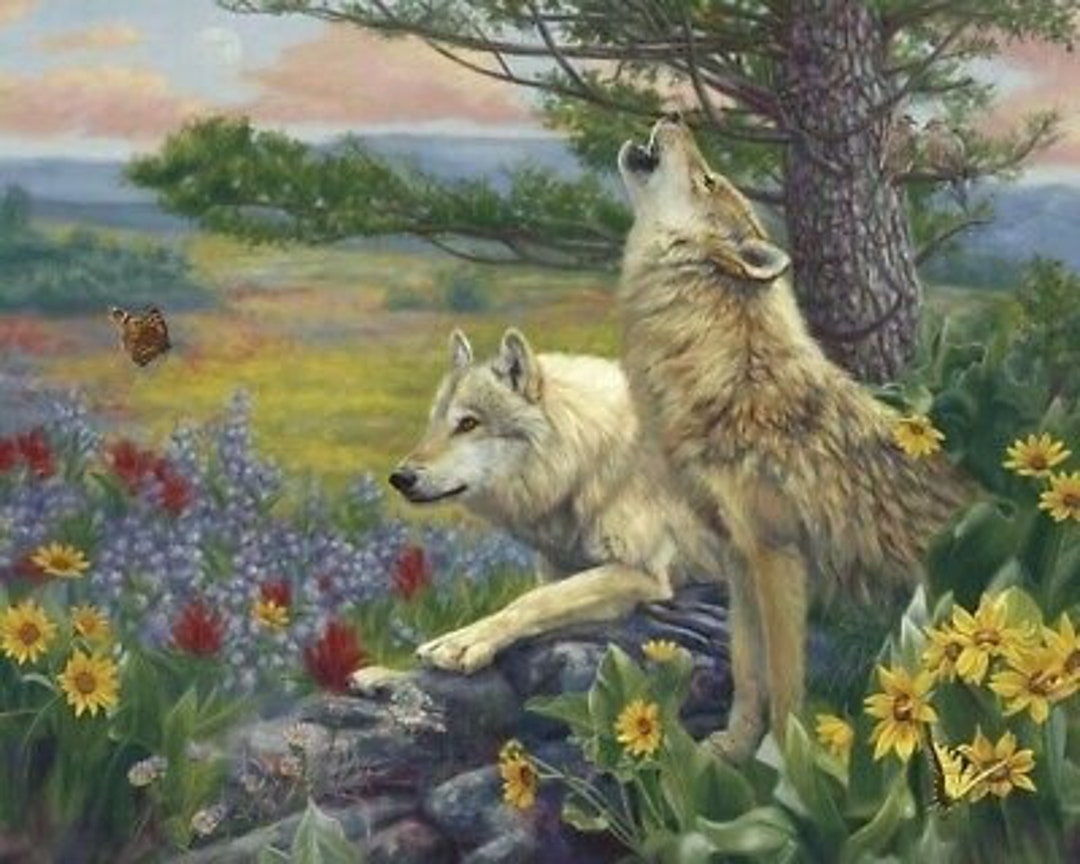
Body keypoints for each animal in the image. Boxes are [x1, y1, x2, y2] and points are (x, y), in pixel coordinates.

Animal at [386, 328, 728, 682]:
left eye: (468, 423)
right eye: (433, 425)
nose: (399, 478)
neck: (589, 460)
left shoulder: (641, 572)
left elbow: (534, 600)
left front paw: (460, 643)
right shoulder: (560, 570)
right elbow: (543, 596)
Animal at [615, 117, 972, 757]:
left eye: (709, 179)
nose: (675, 116)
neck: (727, 371)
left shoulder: (776, 551)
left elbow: (783, 680)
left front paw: (787, 762)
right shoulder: (738, 554)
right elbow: (746, 665)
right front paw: (734, 747)